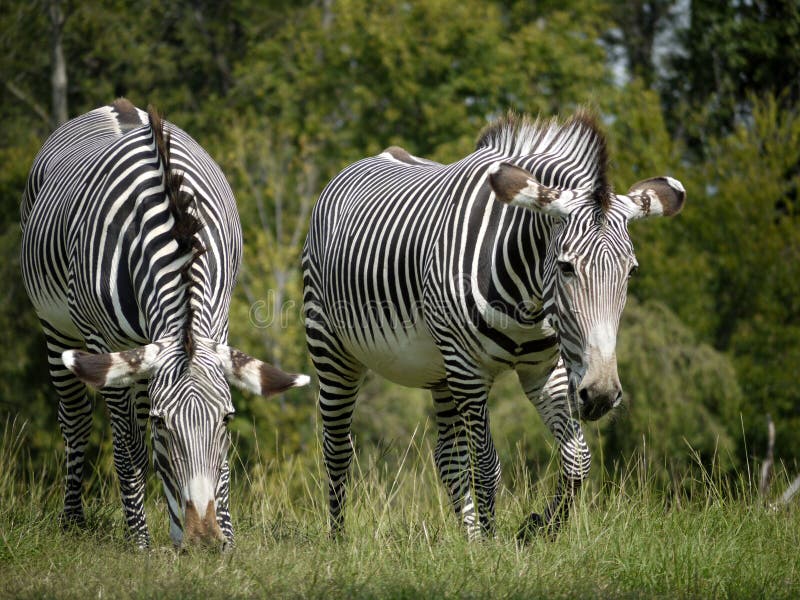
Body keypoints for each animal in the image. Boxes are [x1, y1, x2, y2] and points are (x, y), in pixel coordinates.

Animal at [20, 98, 309, 549]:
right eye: (162, 424)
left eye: (227, 419)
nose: (204, 541)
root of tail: (116, 105)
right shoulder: (101, 342)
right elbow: (129, 447)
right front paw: (140, 541)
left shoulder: (216, 326)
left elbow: (212, 464)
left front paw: (224, 533)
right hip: (57, 328)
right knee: (77, 421)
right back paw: (74, 521)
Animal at [303, 108, 685, 539]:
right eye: (566, 267)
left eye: (631, 272)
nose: (601, 394)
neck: (528, 300)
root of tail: (382, 154)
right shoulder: (469, 370)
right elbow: (487, 466)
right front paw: (493, 544)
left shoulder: (544, 370)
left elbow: (577, 460)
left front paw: (538, 527)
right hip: (333, 349)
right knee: (337, 446)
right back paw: (339, 539)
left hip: (442, 372)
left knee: (448, 457)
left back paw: (467, 539)